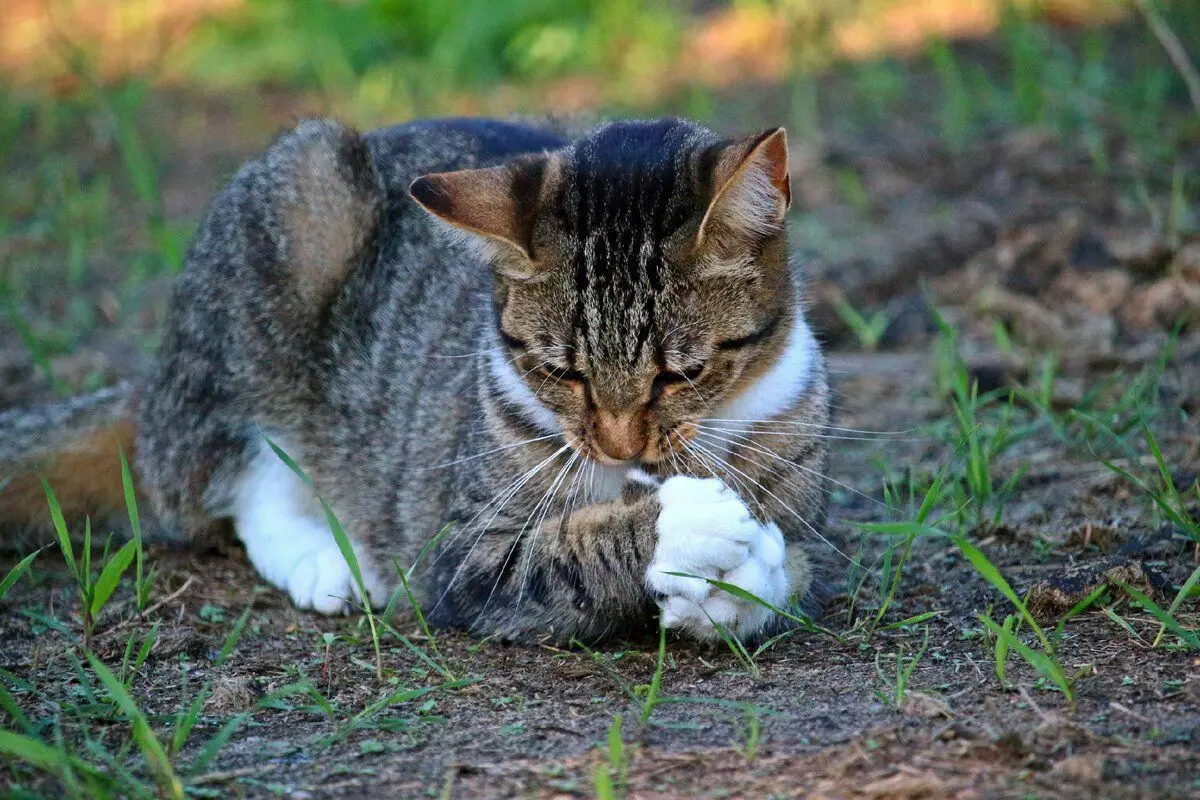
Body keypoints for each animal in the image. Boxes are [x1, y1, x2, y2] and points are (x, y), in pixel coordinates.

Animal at [0, 117, 830, 642]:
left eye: (679, 374)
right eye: (560, 371)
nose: (619, 446)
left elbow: (791, 567)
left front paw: (739, 583)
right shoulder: (463, 558)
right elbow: (570, 554)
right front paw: (688, 527)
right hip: (292, 216)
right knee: (232, 478)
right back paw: (324, 559)